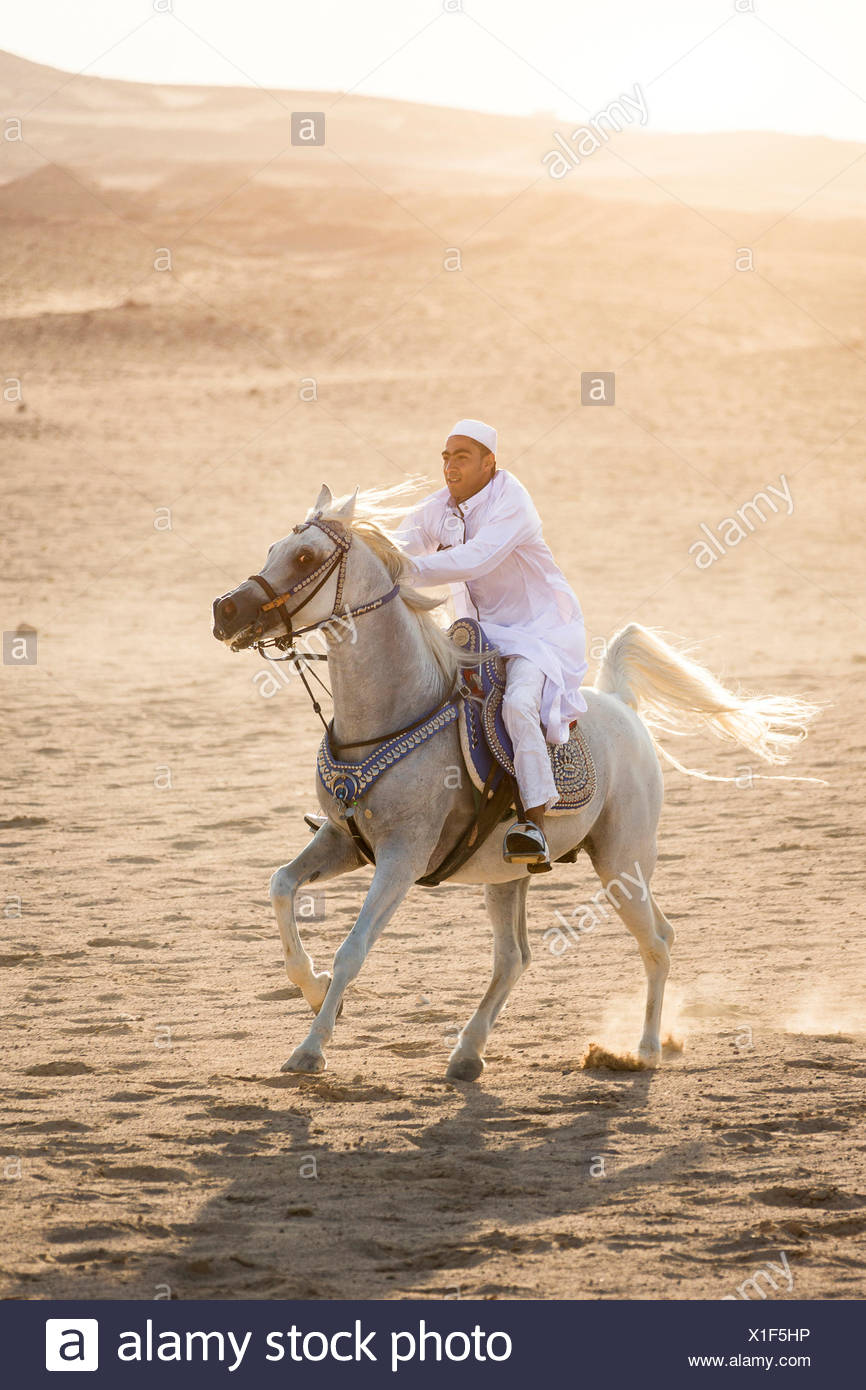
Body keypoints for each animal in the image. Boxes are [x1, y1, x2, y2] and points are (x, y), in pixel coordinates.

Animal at [211, 482, 820, 1080]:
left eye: (306, 557)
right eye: (274, 548)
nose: (225, 609)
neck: (393, 711)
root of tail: (621, 706)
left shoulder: (402, 857)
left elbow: (353, 948)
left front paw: (310, 1048)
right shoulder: (344, 840)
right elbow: (281, 886)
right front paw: (315, 991)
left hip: (623, 863)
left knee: (658, 941)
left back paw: (645, 1049)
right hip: (508, 876)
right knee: (514, 957)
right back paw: (467, 1052)